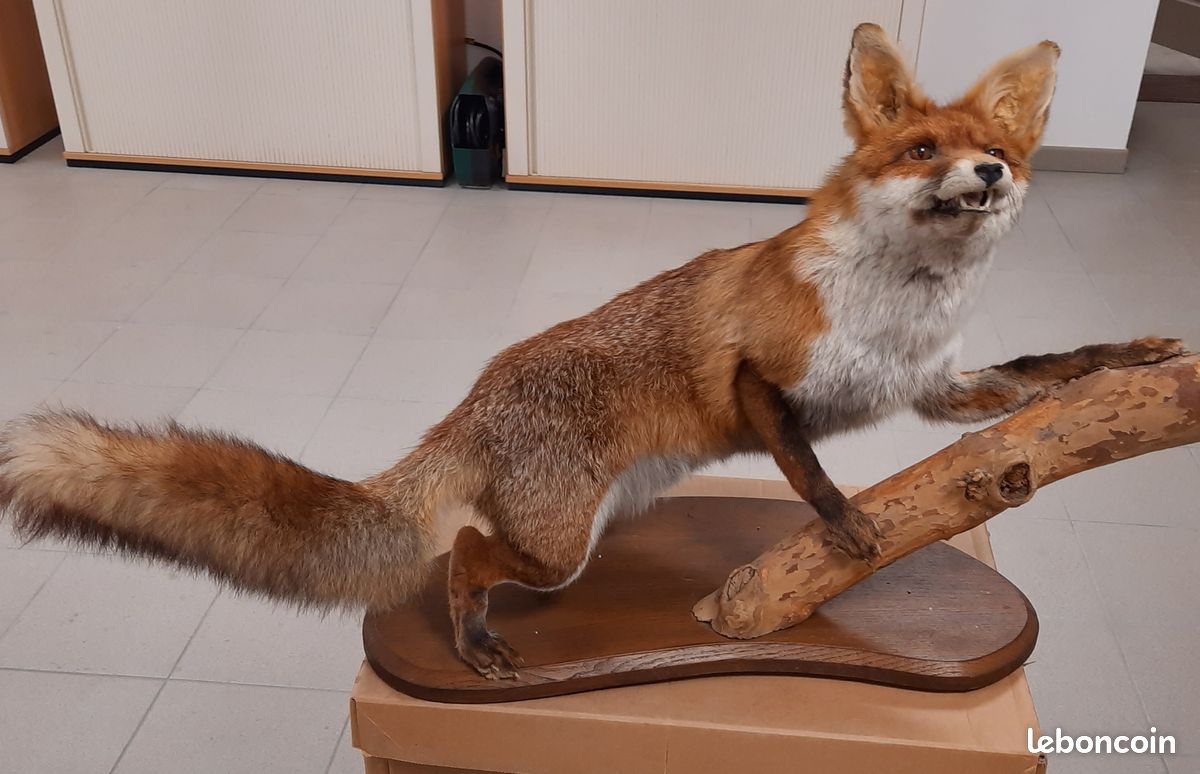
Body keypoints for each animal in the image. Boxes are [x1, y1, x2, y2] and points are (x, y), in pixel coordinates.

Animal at [0, 24, 1185, 679]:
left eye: (996, 148)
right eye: (924, 148)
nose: (989, 176)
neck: (895, 312)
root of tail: (467, 404)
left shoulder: (939, 390)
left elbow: (1044, 374)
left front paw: (1129, 359)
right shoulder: (760, 378)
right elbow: (804, 466)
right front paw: (844, 517)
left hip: (577, 537)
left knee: (467, 547)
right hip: (558, 546)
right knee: (459, 556)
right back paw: (472, 640)